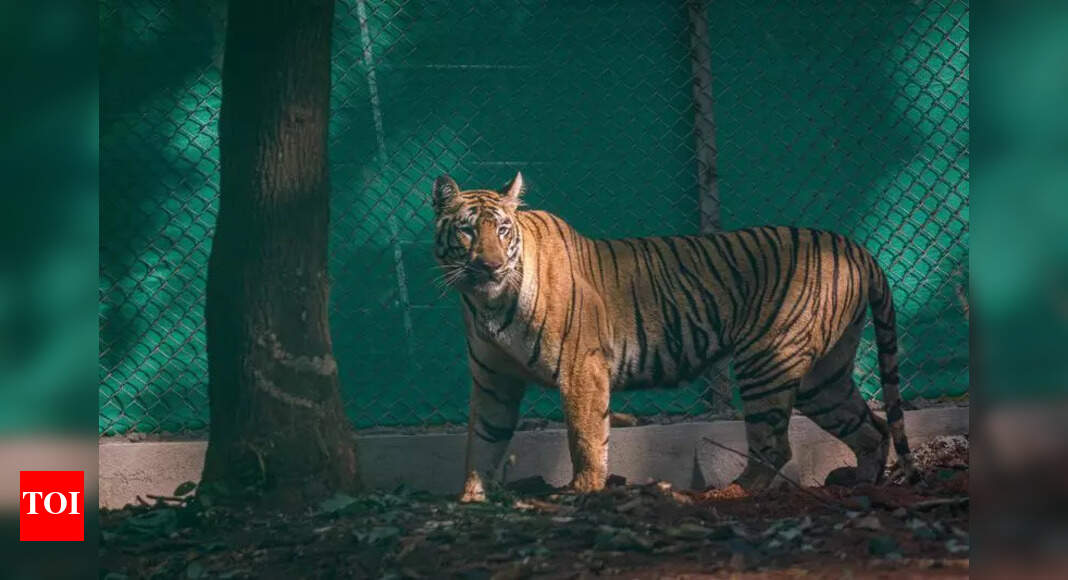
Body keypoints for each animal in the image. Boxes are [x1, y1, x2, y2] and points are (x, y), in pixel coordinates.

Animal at [430, 172, 915, 502]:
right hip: (823, 378)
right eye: (468, 230)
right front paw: (471, 498)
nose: (491, 266)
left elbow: (585, 437)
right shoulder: (493, 381)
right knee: (869, 428)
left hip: (769, 361)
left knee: (775, 445)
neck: (487, 302)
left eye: (502, 230)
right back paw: (862, 487)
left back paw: (727, 494)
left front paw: (583, 491)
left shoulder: (582, 368)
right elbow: (484, 440)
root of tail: (856, 247)